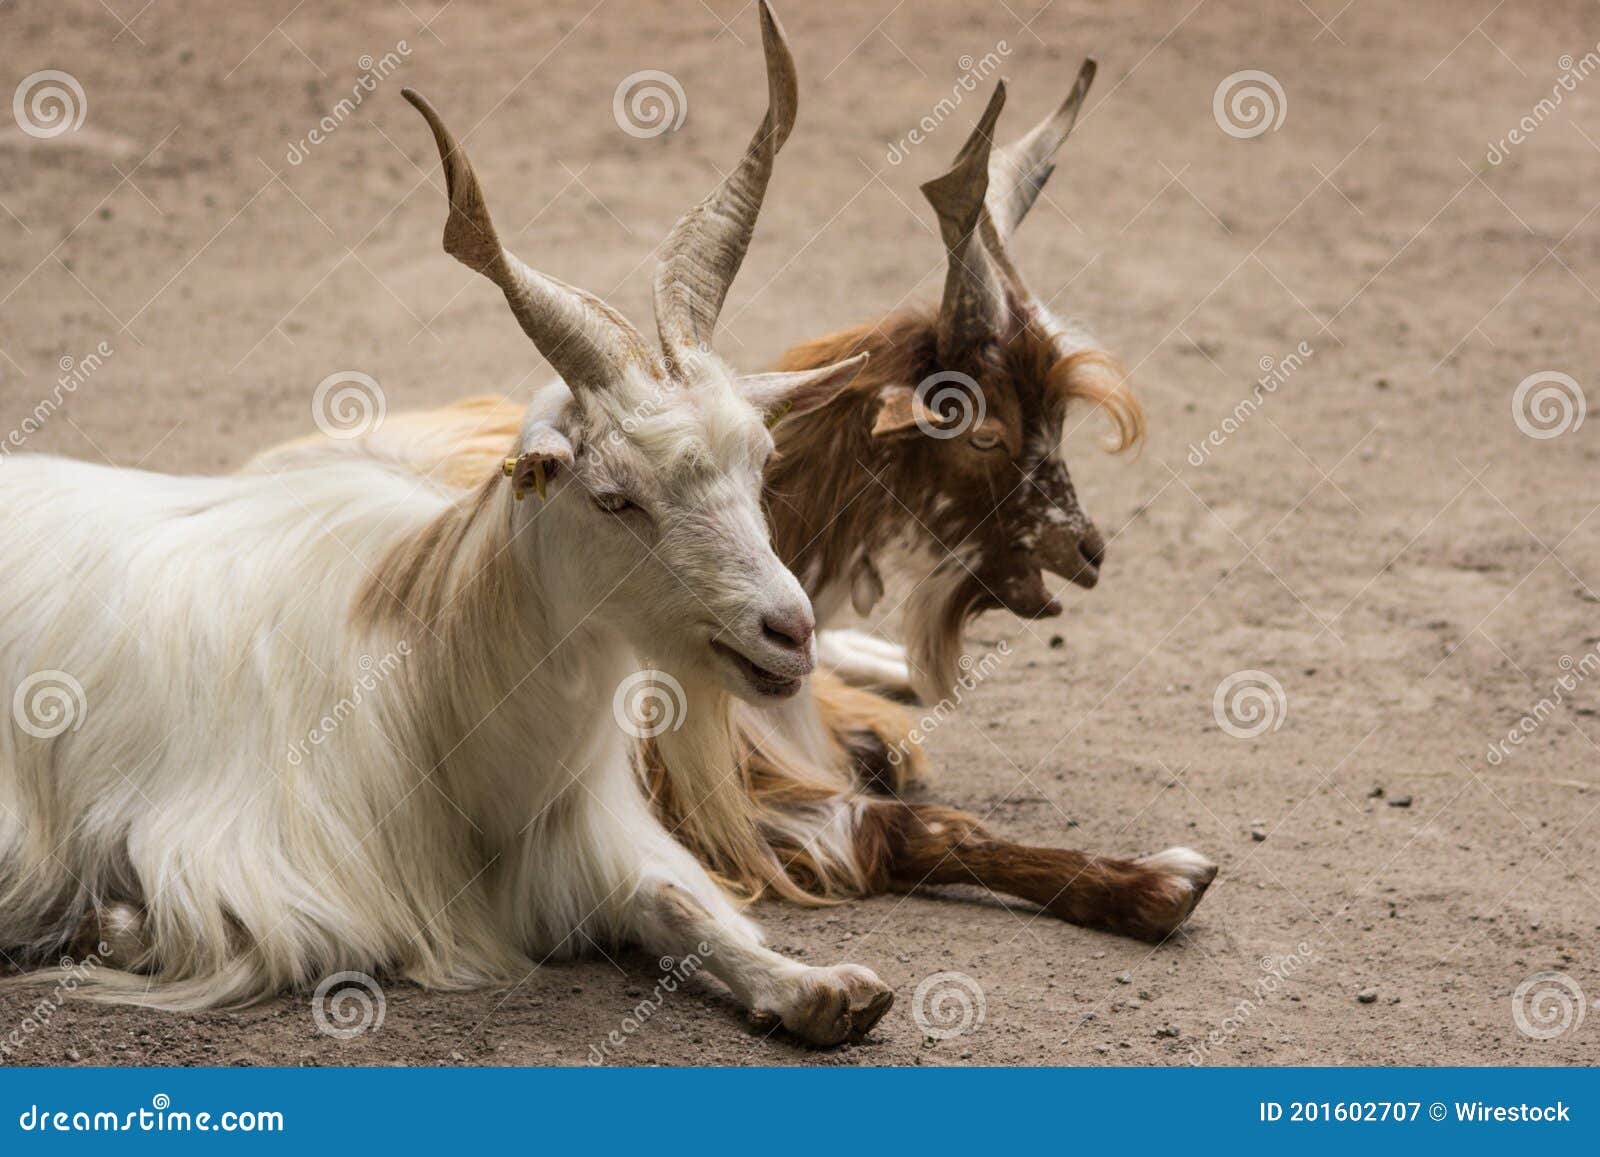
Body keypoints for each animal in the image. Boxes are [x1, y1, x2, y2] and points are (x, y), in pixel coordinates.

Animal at [0, 3, 900, 1045]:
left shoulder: (585, 848)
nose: (788, 631)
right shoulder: (248, 863)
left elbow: (677, 905)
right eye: (614, 497)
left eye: (760, 461)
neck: (431, 699)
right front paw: (102, 922)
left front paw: (821, 986)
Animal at [256, 66, 1218, 942]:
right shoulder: (715, 792)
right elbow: (917, 827)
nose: (1088, 549)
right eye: (984, 433)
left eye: (760, 461)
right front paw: (1158, 881)